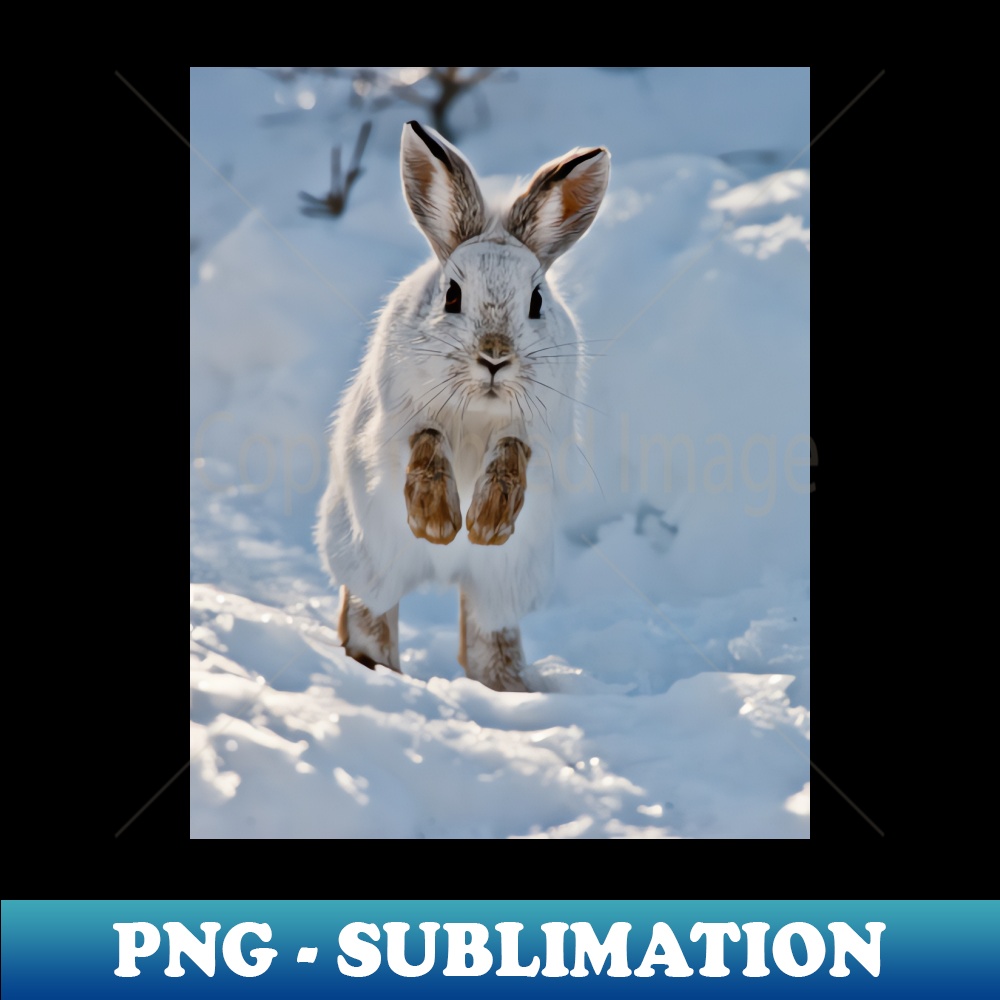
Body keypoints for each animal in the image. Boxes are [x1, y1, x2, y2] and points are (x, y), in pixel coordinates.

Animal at [316, 120, 609, 692]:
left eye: (536, 301)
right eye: (451, 295)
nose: (494, 357)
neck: (478, 405)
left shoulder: (534, 433)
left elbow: (511, 457)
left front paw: (485, 525)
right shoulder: (400, 421)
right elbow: (427, 446)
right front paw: (438, 525)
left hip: (504, 582)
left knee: (487, 634)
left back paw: (509, 688)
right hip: (366, 552)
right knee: (370, 610)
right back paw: (378, 670)